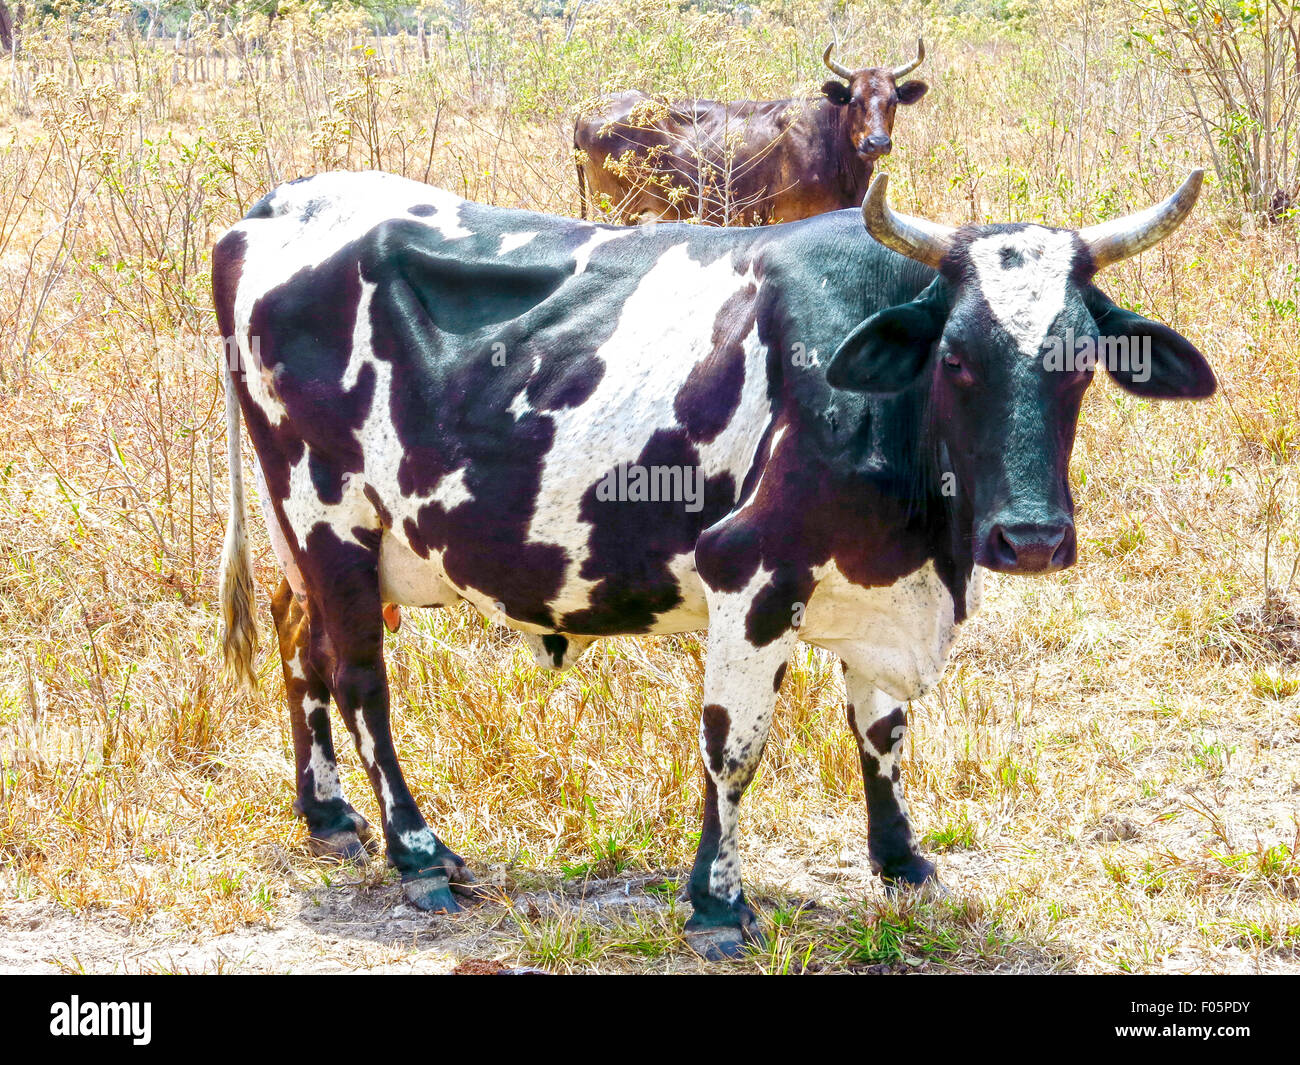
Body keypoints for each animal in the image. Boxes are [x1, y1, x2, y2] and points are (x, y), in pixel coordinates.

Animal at [215, 167, 1215, 960]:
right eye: (958, 358)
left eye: (1082, 361)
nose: (1032, 538)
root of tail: (279, 204)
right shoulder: (751, 574)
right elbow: (734, 749)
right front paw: (717, 904)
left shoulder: (877, 592)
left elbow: (882, 733)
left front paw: (902, 861)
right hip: (326, 515)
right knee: (359, 677)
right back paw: (417, 851)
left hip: (326, 540)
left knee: (300, 638)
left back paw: (328, 816)